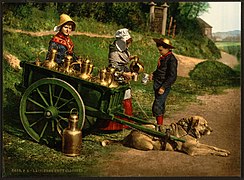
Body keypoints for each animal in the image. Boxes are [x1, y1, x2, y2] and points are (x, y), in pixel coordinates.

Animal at [101, 116, 231, 157]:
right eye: (204, 125)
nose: (212, 130)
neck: (187, 130)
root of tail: (127, 136)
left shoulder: (198, 145)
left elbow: (212, 147)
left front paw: (224, 151)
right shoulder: (193, 150)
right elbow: (209, 151)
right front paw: (221, 154)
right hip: (148, 144)